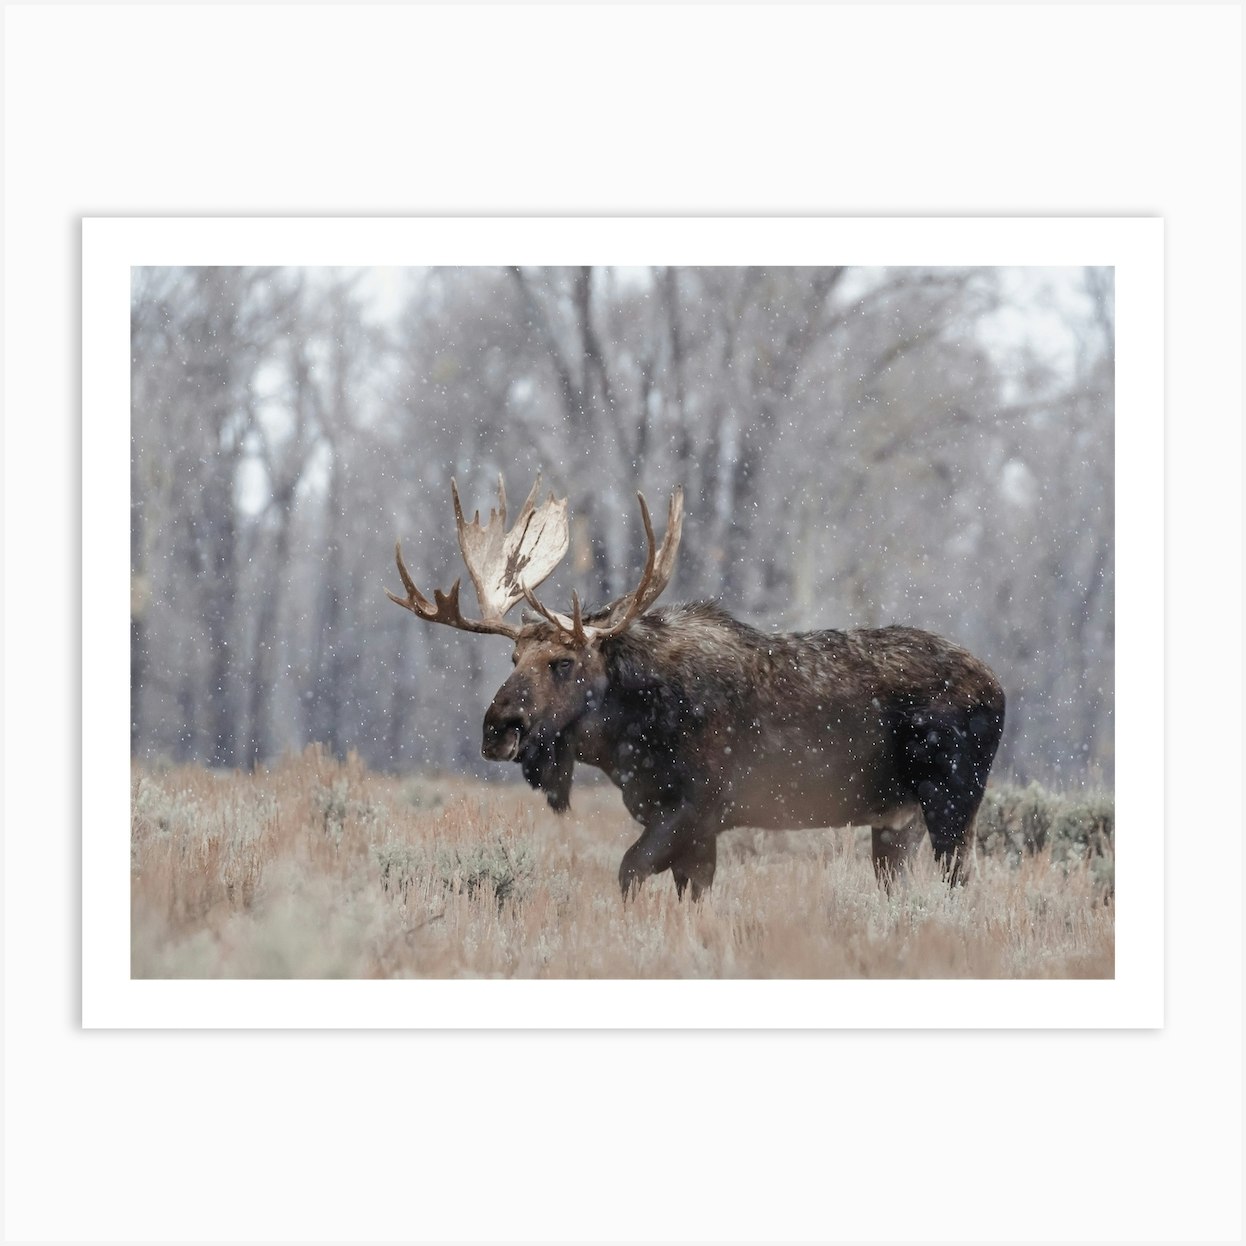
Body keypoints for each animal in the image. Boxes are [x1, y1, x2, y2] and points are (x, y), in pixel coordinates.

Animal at [388, 477, 1005, 900]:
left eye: (563, 662)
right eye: (514, 657)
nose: (498, 730)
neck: (624, 740)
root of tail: (999, 688)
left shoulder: (696, 810)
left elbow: (628, 873)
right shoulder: (686, 827)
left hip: (952, 802)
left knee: (961, 882)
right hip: (897, 821)